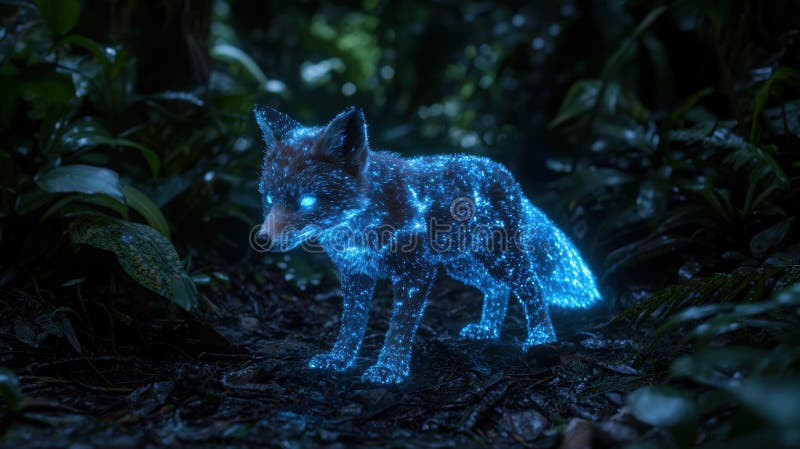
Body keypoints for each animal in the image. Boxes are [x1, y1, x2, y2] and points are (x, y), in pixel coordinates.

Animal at [253, 105, 601, 384]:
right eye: (268, 198)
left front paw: (390, 368)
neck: (357, 230)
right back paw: (487, 330)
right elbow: (351, 326)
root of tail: (506, 175)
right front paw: (339, 360)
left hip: (501, 257)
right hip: (462, 265)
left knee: (532, 286)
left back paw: (542, 337)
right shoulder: (356, 275)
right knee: (496, 288)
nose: (262, 240)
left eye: (306, 201)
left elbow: (400, 327)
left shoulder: (416, 274)